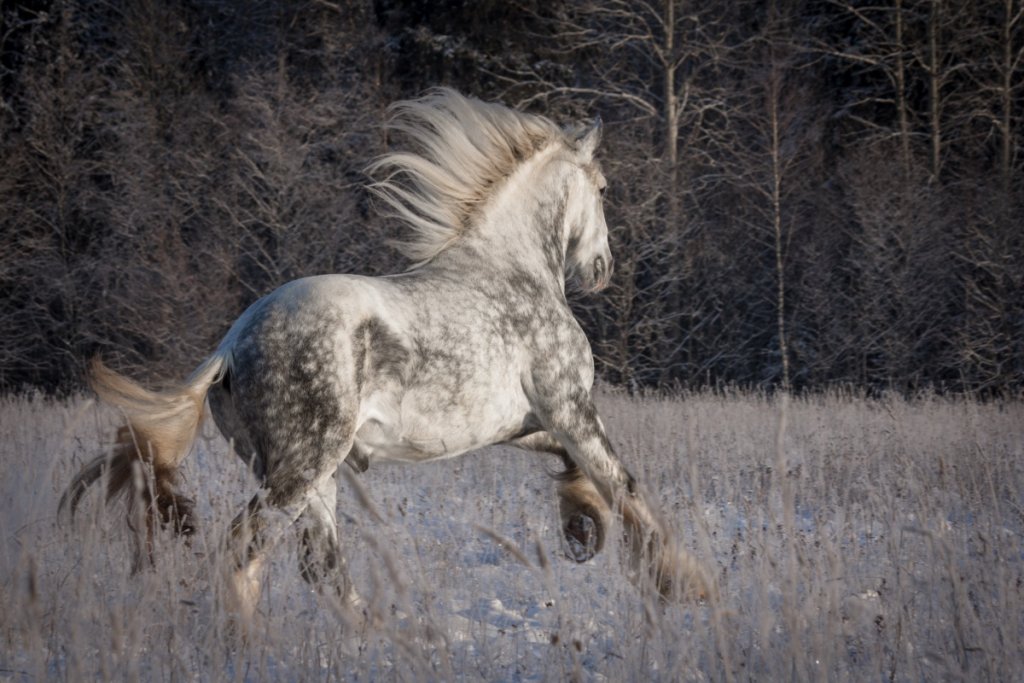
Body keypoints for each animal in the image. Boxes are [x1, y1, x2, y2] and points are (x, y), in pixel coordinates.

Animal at [60, 88, 711, 624]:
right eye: (603, 189)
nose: (601, 268)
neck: (514, 272)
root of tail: (231, 345)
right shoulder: (570, 405)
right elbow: (624, 484)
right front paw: (684, 586)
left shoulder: (524, 422)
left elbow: (579, 470)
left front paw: (582, 529)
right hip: (300, 469)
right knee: (245, 550)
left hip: (310, 475)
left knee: (320, 567)